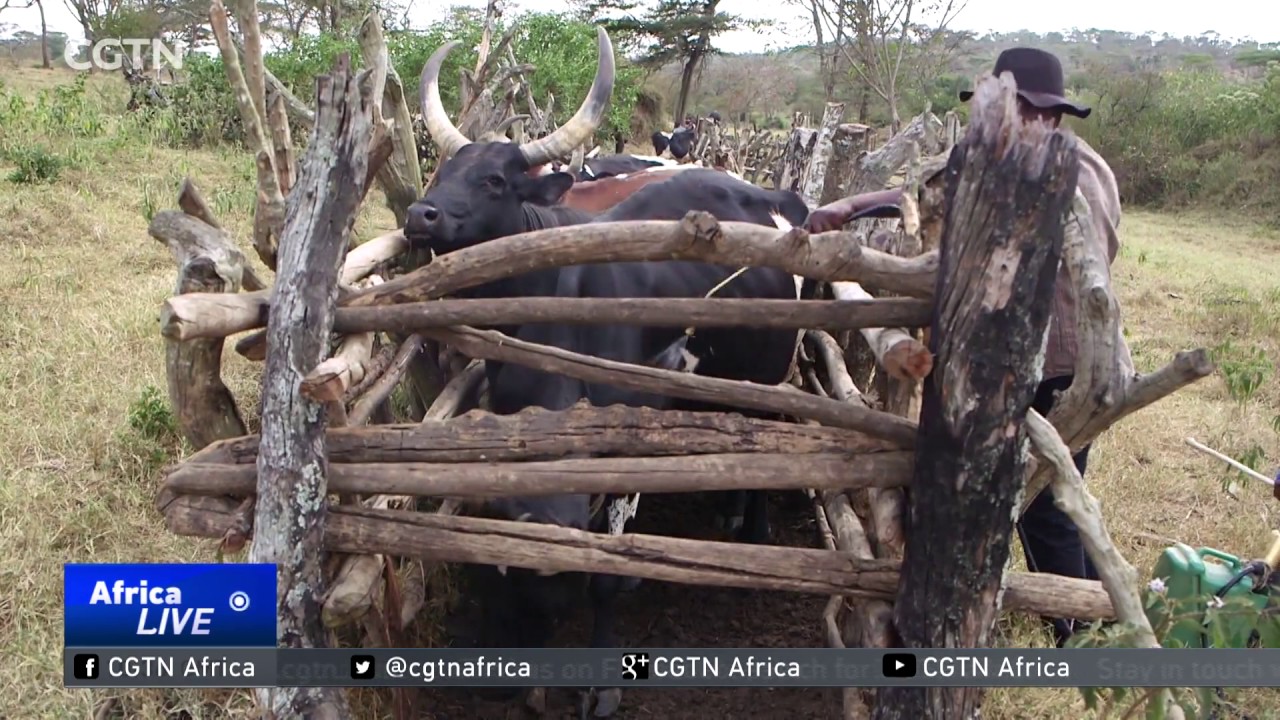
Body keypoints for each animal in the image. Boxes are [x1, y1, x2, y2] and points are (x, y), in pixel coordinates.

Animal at [406, 28, 811, 718]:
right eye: (441, 169)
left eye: (495, 180)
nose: (419, 215)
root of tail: (774, 198)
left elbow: (605, 573)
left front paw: (600, 685)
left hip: (767, 376)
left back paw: (749, 529)